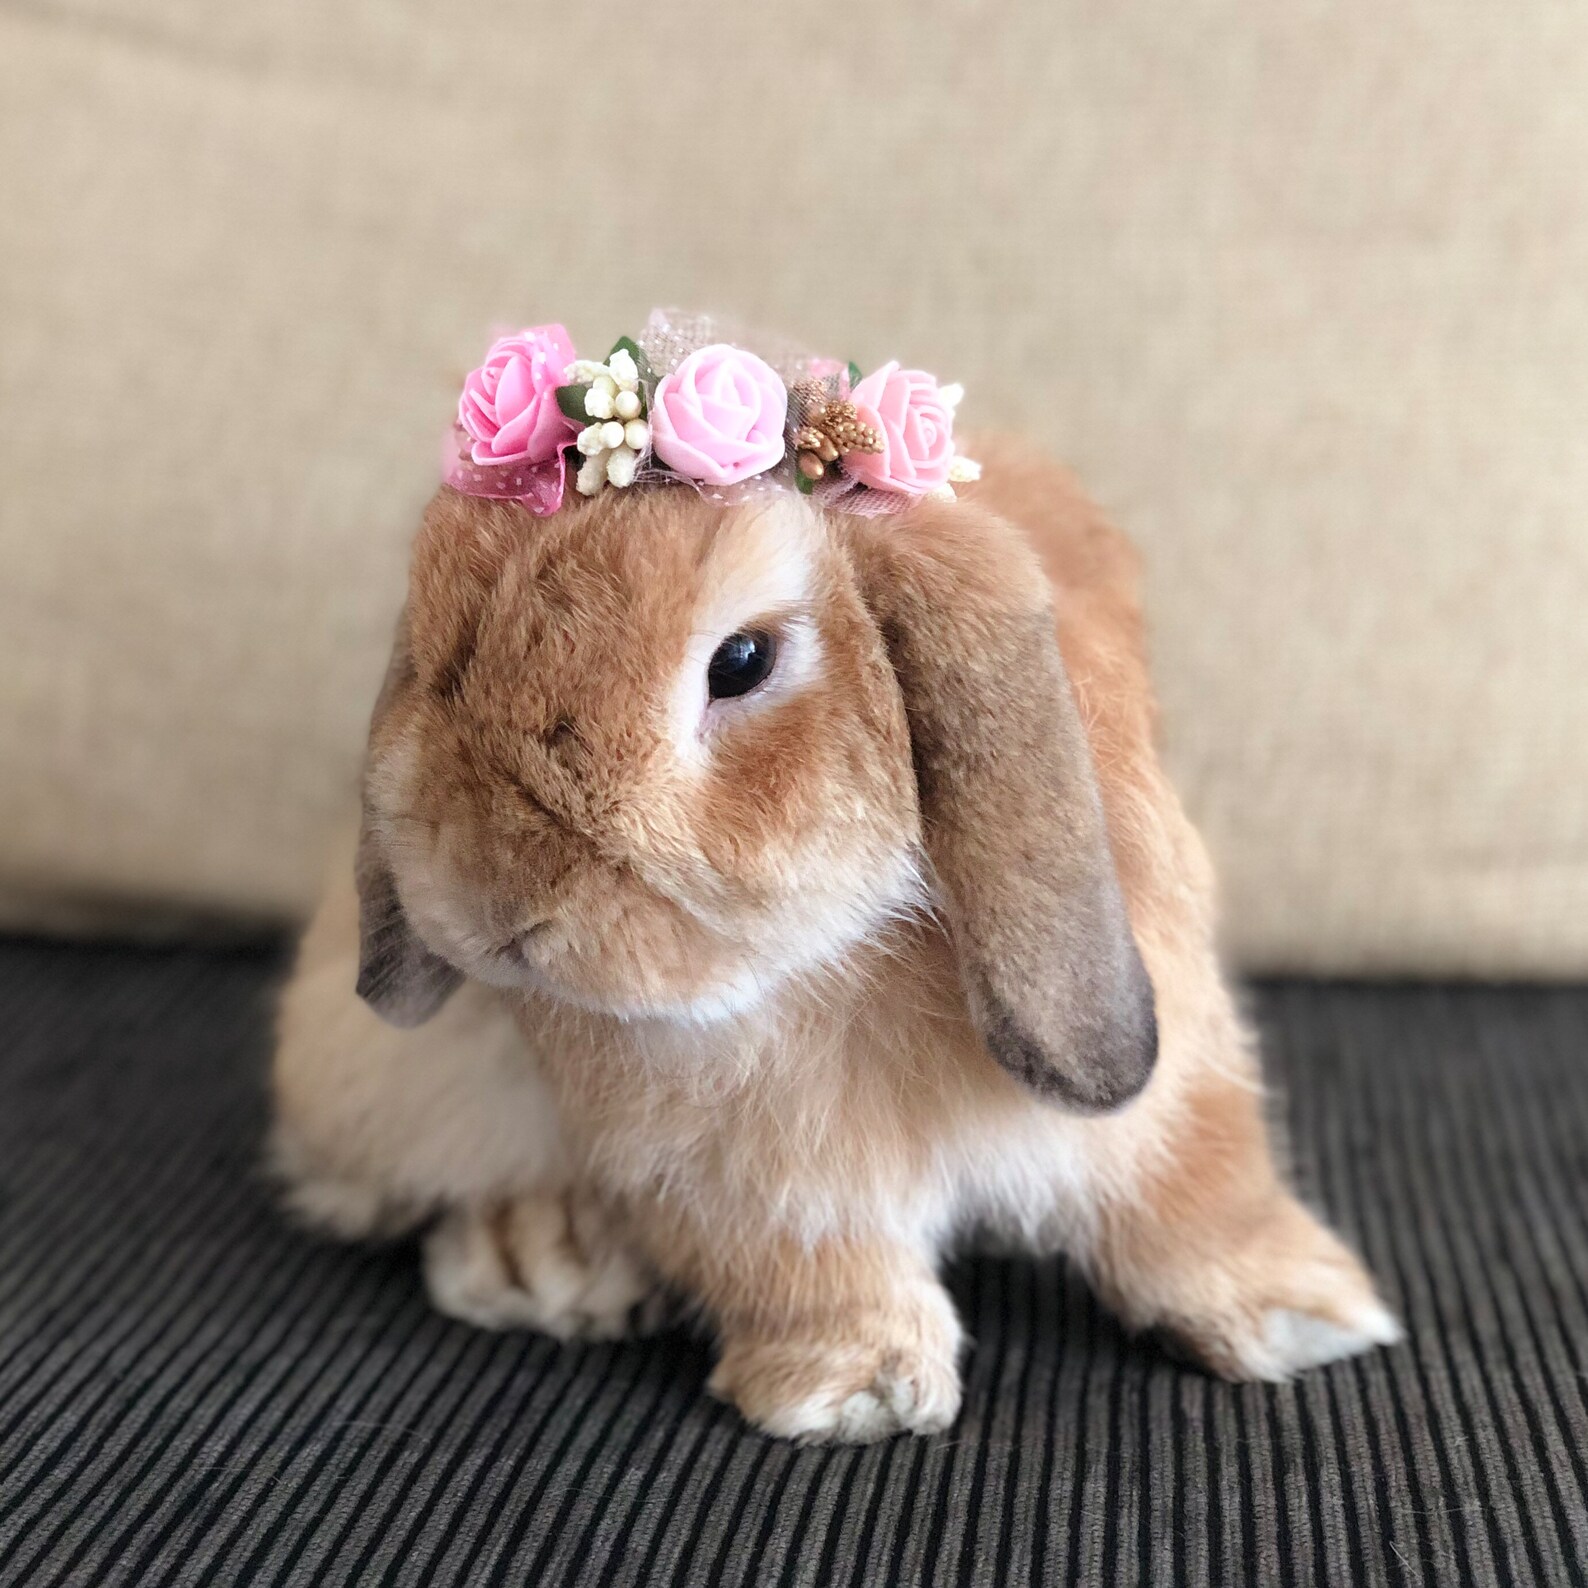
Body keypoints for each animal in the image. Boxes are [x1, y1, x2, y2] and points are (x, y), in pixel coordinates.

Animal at [271, 436, 1400, 1442]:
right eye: (439, 657)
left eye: (741, 661)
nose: (497, 905)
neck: (843, 953)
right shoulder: (734, 1165)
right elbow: (807, 1257)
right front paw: (860, 1391)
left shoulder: (1171, 1055)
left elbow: (1196, 1180)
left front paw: (1303, 1316)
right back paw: (545, 1264)